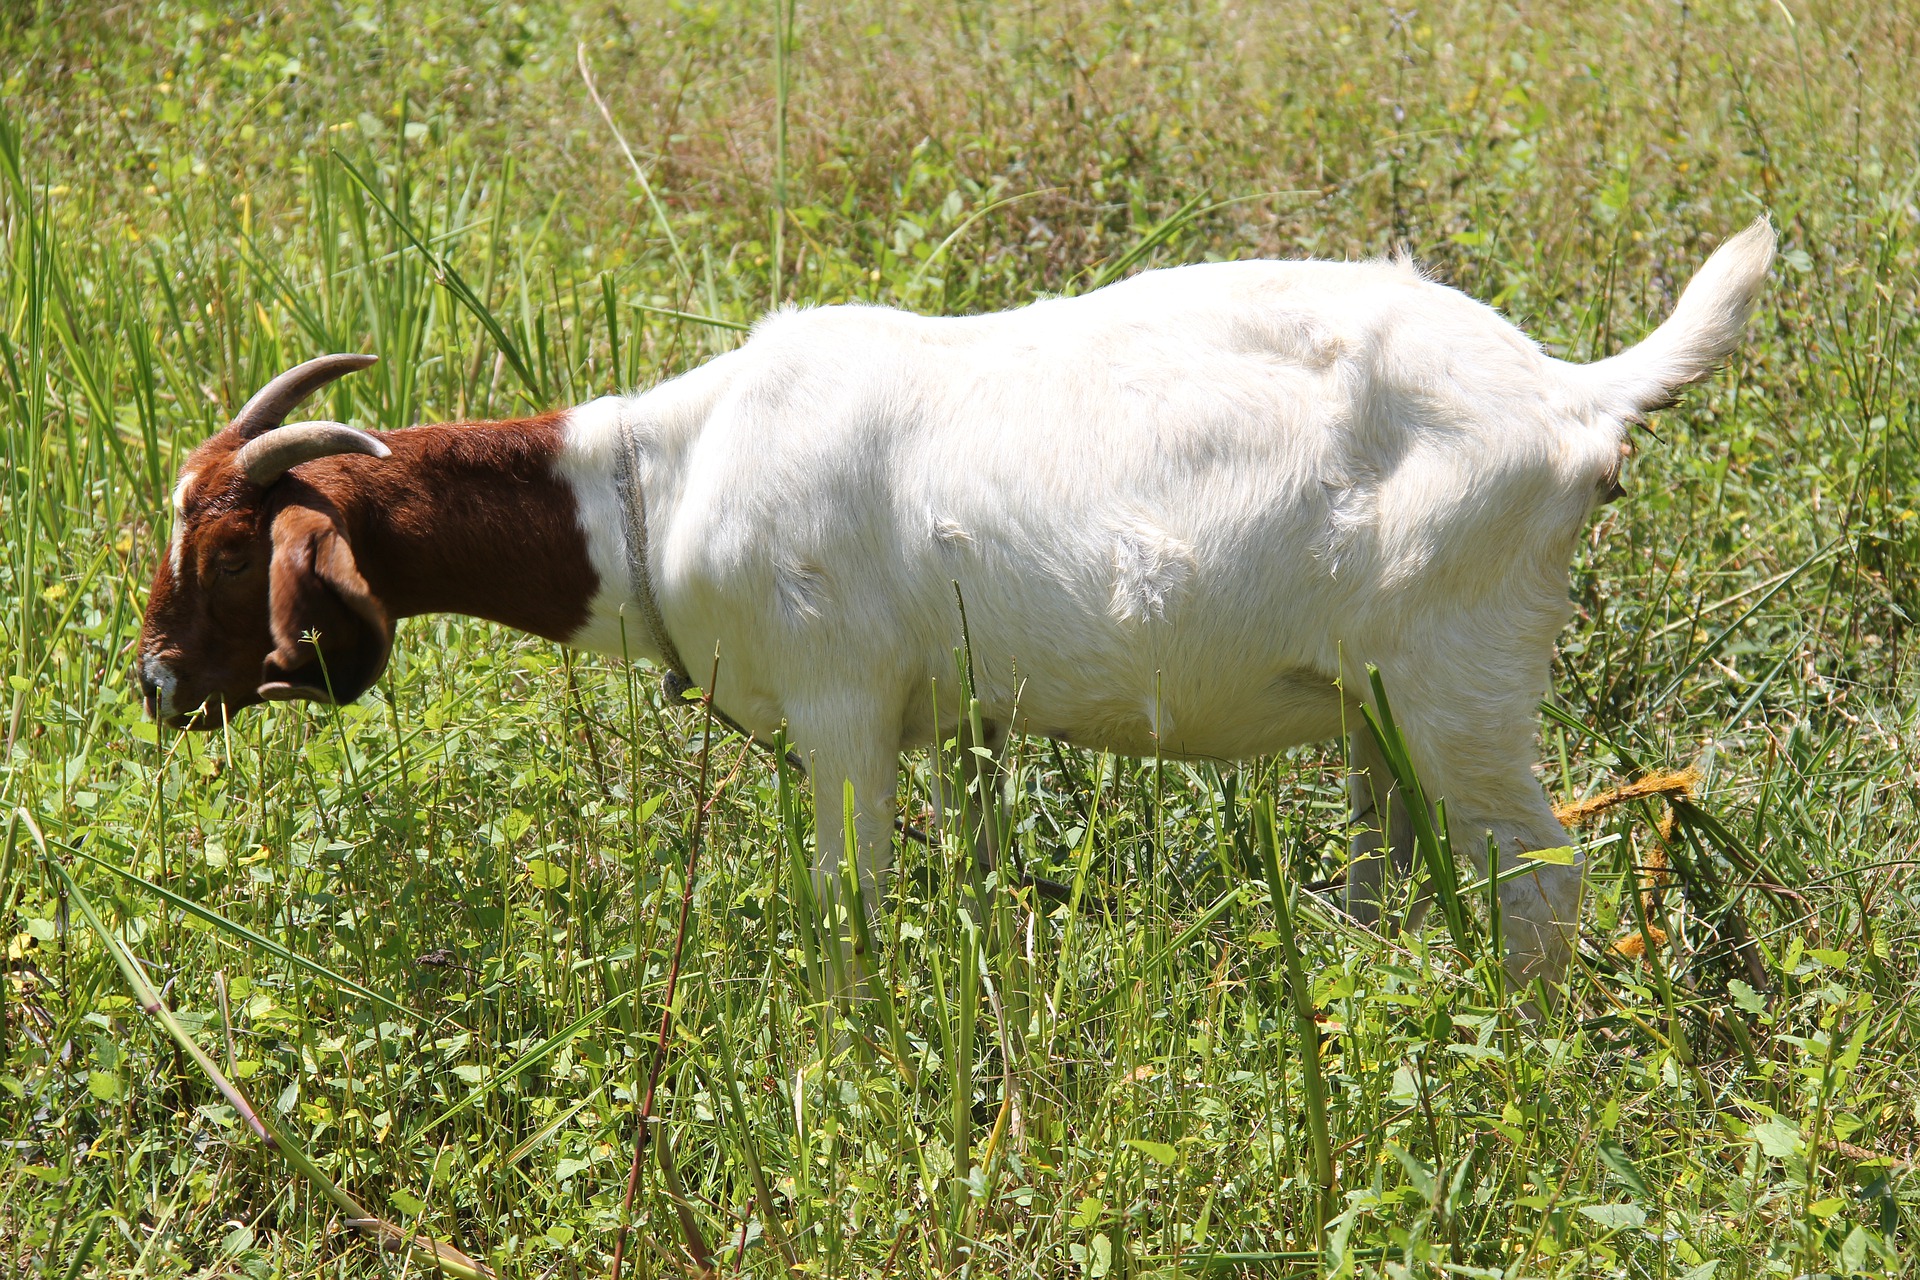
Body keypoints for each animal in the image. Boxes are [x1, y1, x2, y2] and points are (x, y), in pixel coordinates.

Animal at [137, 219, 1775, 989]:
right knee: (1399, 870)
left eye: (223, 547)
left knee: (1544, 892)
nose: (155, 683)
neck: (661, 476)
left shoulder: (841, 708)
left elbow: (849, 909)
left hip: (1462, 683)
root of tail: (1572, 394)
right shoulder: (965, 723)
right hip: (1380, 709)